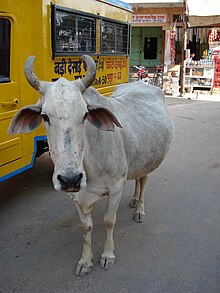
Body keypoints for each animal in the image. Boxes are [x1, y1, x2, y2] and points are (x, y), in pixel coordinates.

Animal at [8, 55, 174, 276]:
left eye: (85, 114)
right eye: (44, 116)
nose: (70, 178)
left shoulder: (115, 187)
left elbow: (109, 221)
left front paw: (107, 255)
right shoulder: (78, 194)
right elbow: (85, 227)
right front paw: (86, 261)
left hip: (149, 160)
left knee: (143, 181)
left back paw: (139, 209)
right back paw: (133, 201)